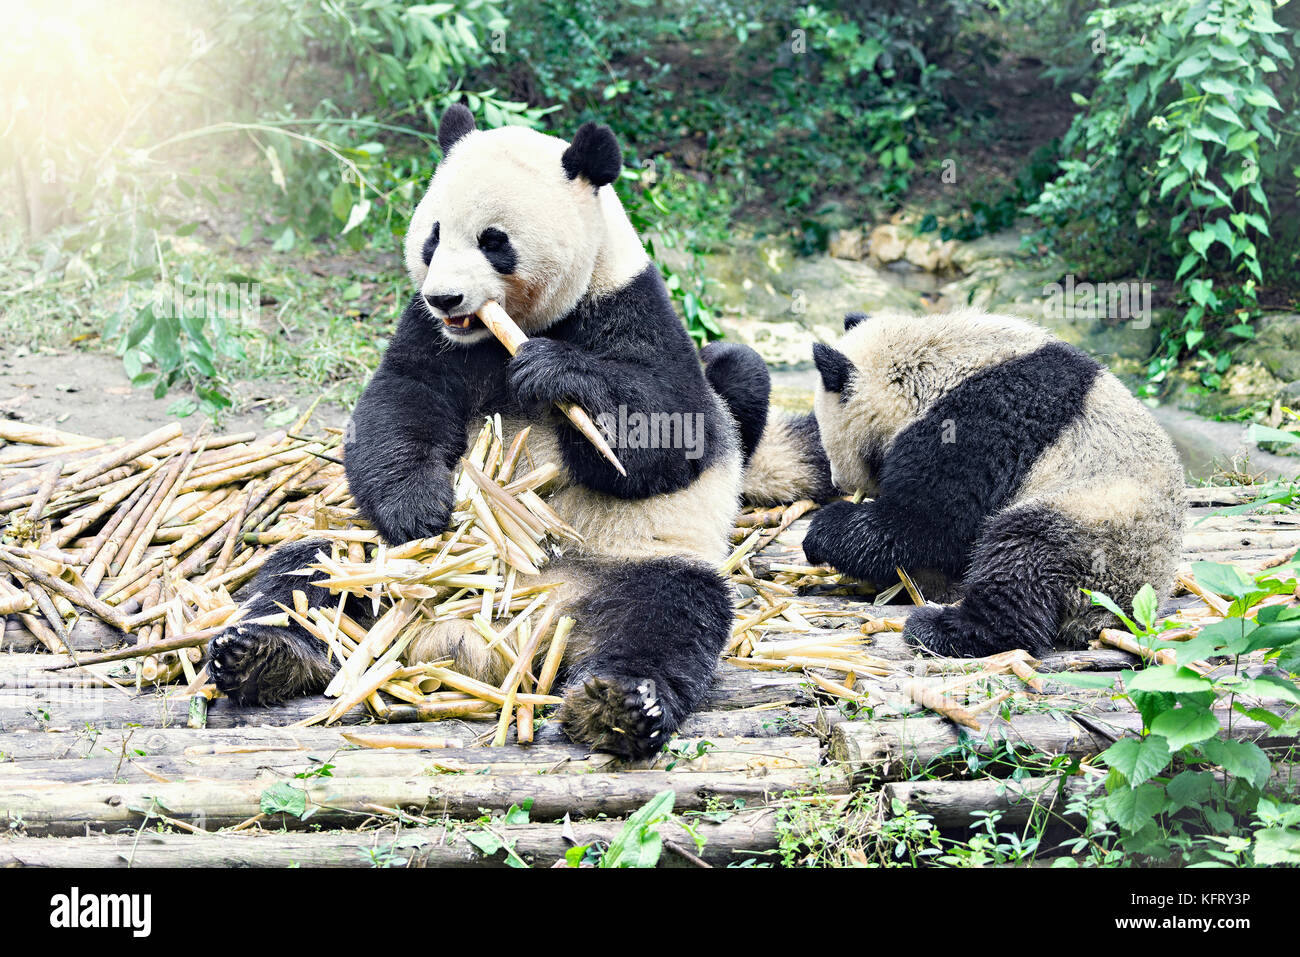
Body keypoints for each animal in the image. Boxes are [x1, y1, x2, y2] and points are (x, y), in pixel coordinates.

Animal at [207, 106, 768, 759]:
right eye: (433, 236)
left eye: (493, 242)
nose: (445, 296)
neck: (500, 331)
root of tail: (480, 643)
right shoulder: (427, 331)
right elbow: (401, 400)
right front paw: (420, 508)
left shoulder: (631, 307)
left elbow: (673, 430)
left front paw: (552, 373)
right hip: (373, 557)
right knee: (307, 576)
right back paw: (261, 654)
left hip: (631, 564)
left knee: (669, 615)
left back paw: (618, 705)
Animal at [800, 308, 1185, 659]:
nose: (838, 480)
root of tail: (1114, 615)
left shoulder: (984, 421)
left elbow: (932, 523)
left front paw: (825, 532)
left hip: (1097, 528)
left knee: (1023, 560)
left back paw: (945, 630)